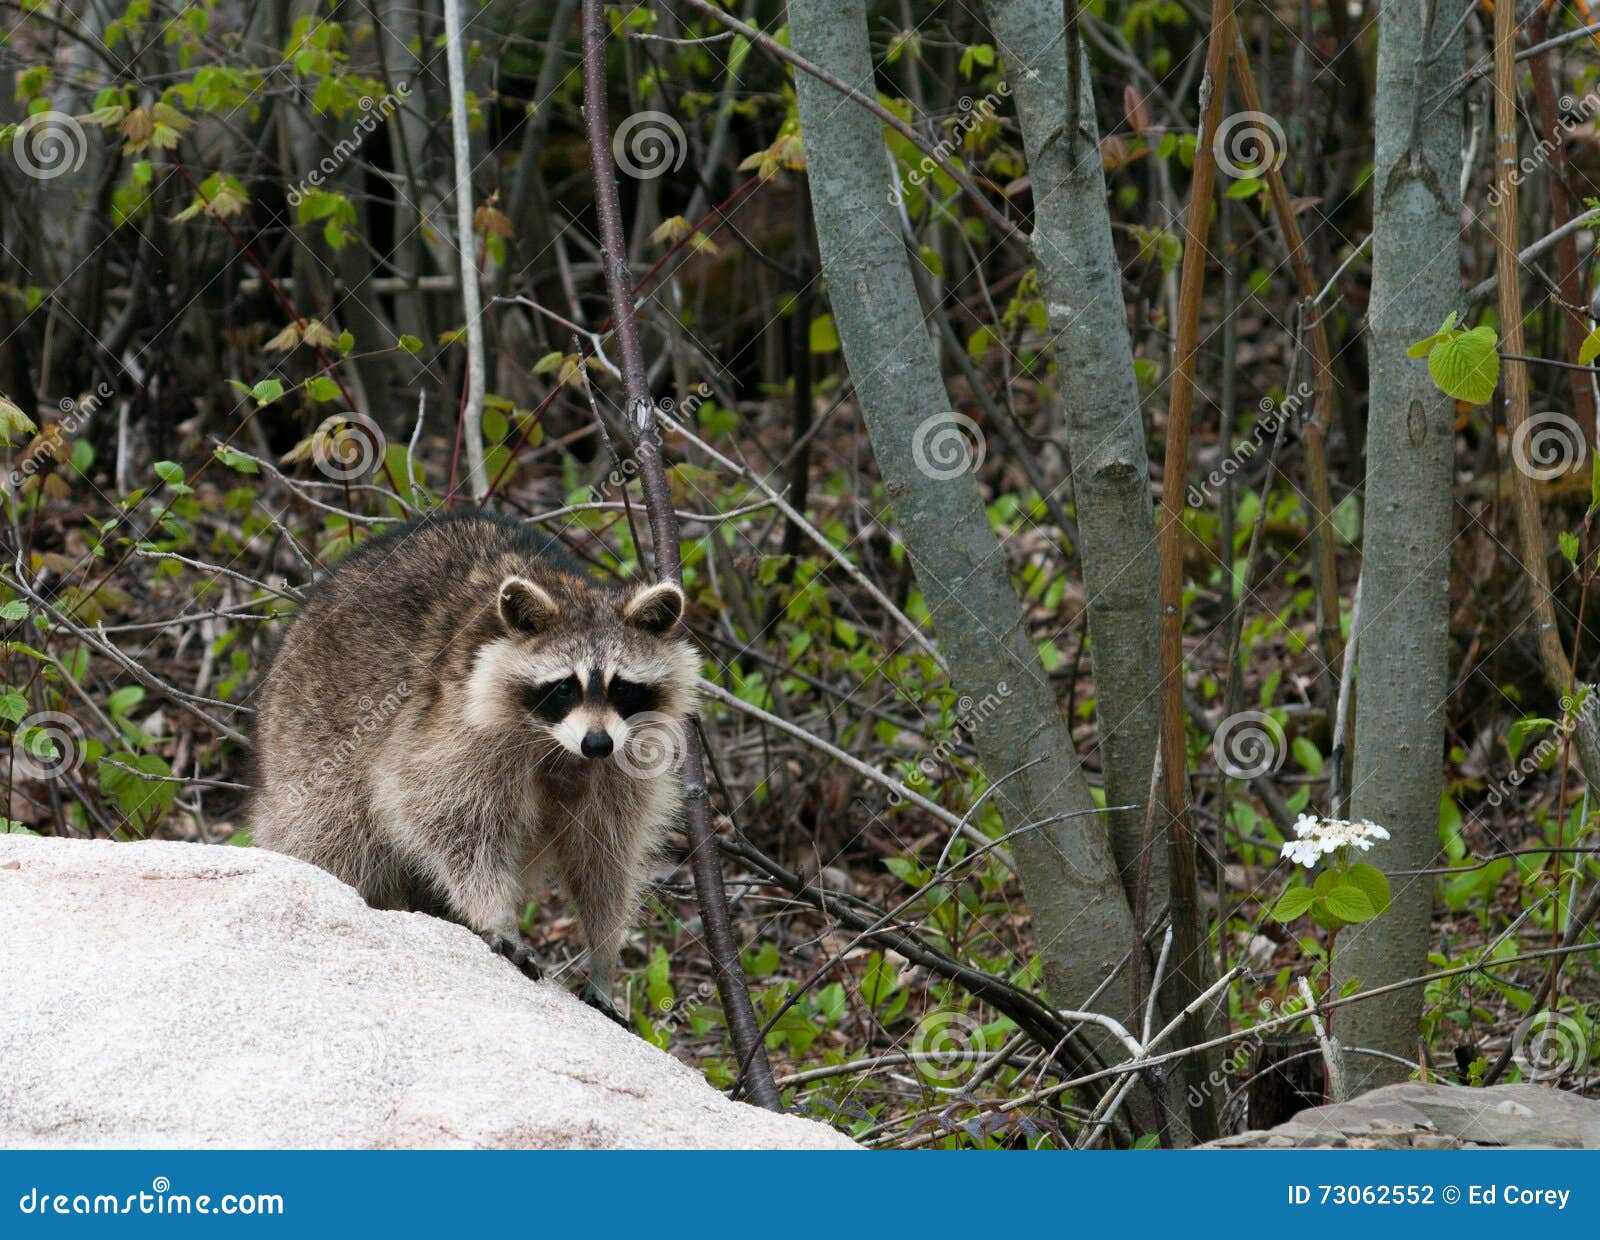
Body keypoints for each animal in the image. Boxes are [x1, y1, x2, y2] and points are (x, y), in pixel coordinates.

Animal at [250, 512, 699, 1012]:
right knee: (333, 838)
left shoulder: (624, 762)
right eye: (566, 687)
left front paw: (603, 950)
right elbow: (444, 817)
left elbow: (604, 854)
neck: (558, 746)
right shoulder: (454, 731)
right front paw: (497, 914)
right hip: (308, 748)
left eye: (622, 687)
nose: (598, 744)